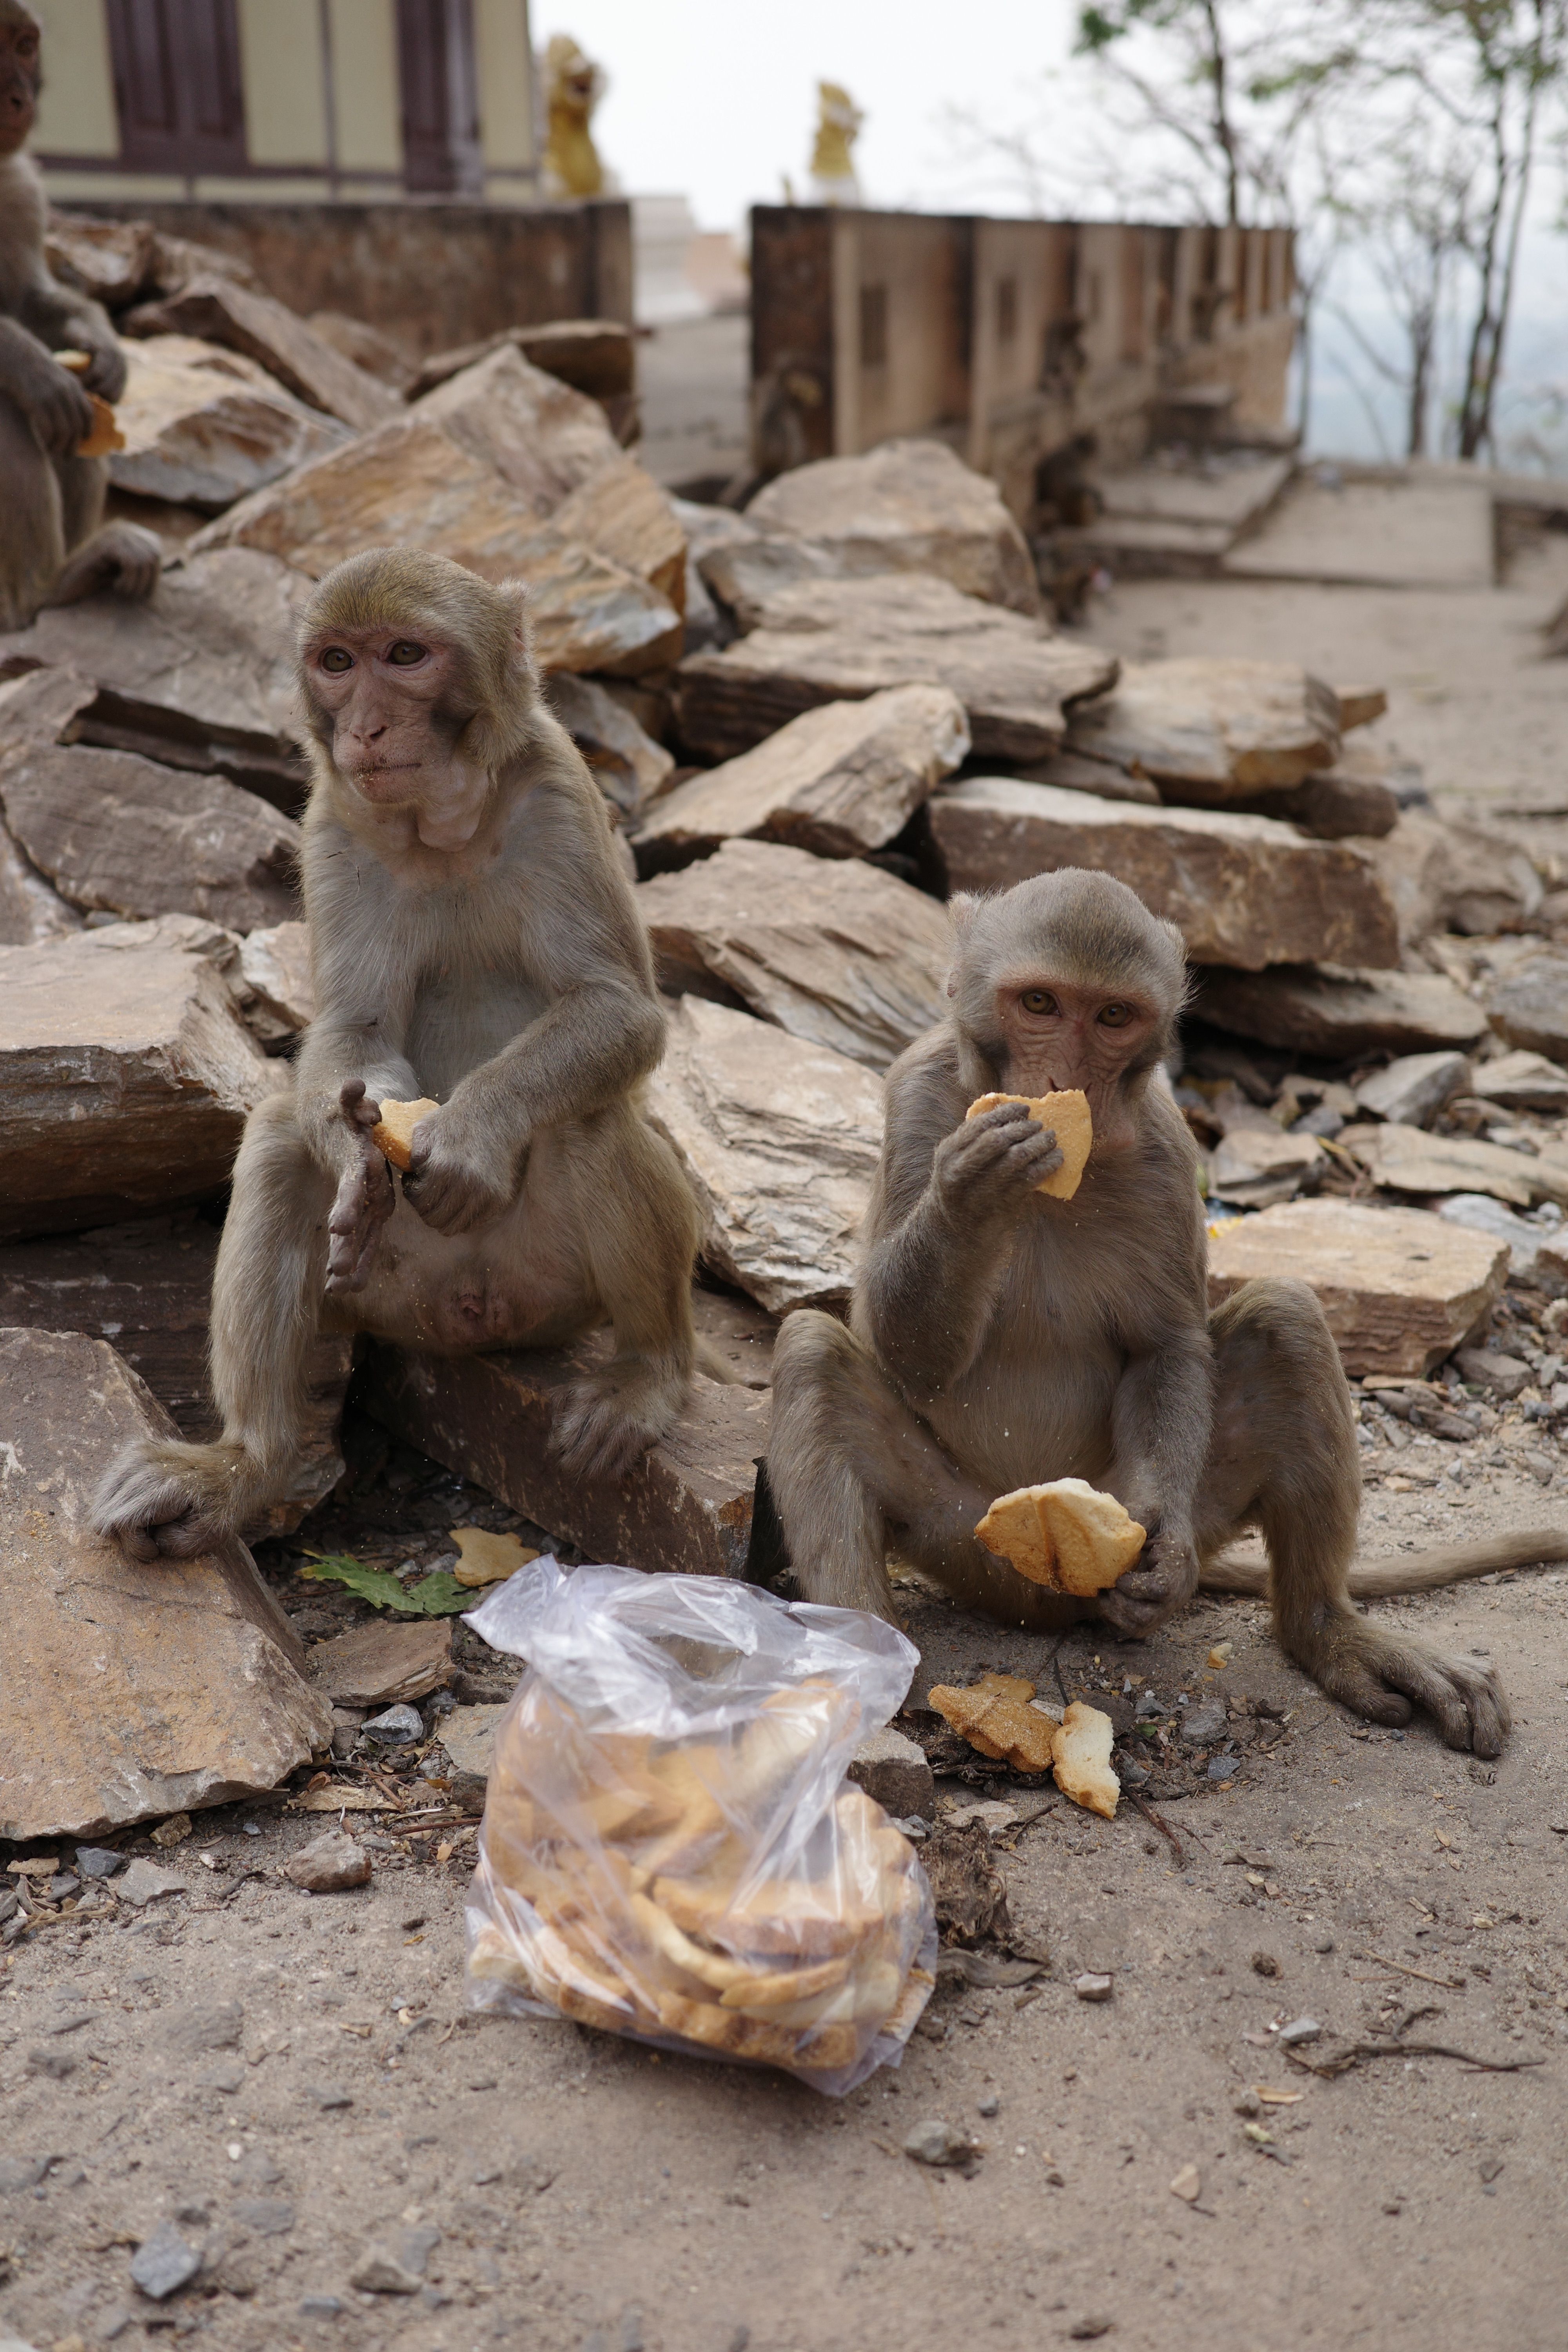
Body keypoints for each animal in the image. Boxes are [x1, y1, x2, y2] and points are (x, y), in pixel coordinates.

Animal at [0, 2, 161, 632]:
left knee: (80, 416)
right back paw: (45, 589)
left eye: (24, 46)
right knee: (15, 412)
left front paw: (104, 347)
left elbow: (27, 299)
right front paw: (34, 370)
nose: (19, 98)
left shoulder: (17, 185)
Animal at [92, 547, 705, 1557]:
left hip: (554, 1291)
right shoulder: (332, 824)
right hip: (379, 1295)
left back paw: (648, 1372)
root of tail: (467, 1315)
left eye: (406, 655)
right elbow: (353, 1032)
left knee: (589, 1121)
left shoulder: (557, 790)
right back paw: (242, 1468)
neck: (447, 825)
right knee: (277, 1139)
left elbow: (615, 1008)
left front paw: (474, 1134)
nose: (367, 725)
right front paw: (356, 1164)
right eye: (338, 663)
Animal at [767, 869, 1568, 1758]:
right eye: (1039, 1003)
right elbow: (901, 1352)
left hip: (1160, 1505)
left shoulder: (1167, 1148)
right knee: (812, 1349)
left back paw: (1330, 1634)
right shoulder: (915, 1093)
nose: (1062, 1082)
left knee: (1285, 1319)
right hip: (952, 1532)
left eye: (1113, 1017)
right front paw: (970, 1193)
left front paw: (1168, 1558)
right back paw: (865, 1684)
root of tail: (1039, 1595)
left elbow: (1167, 1347)